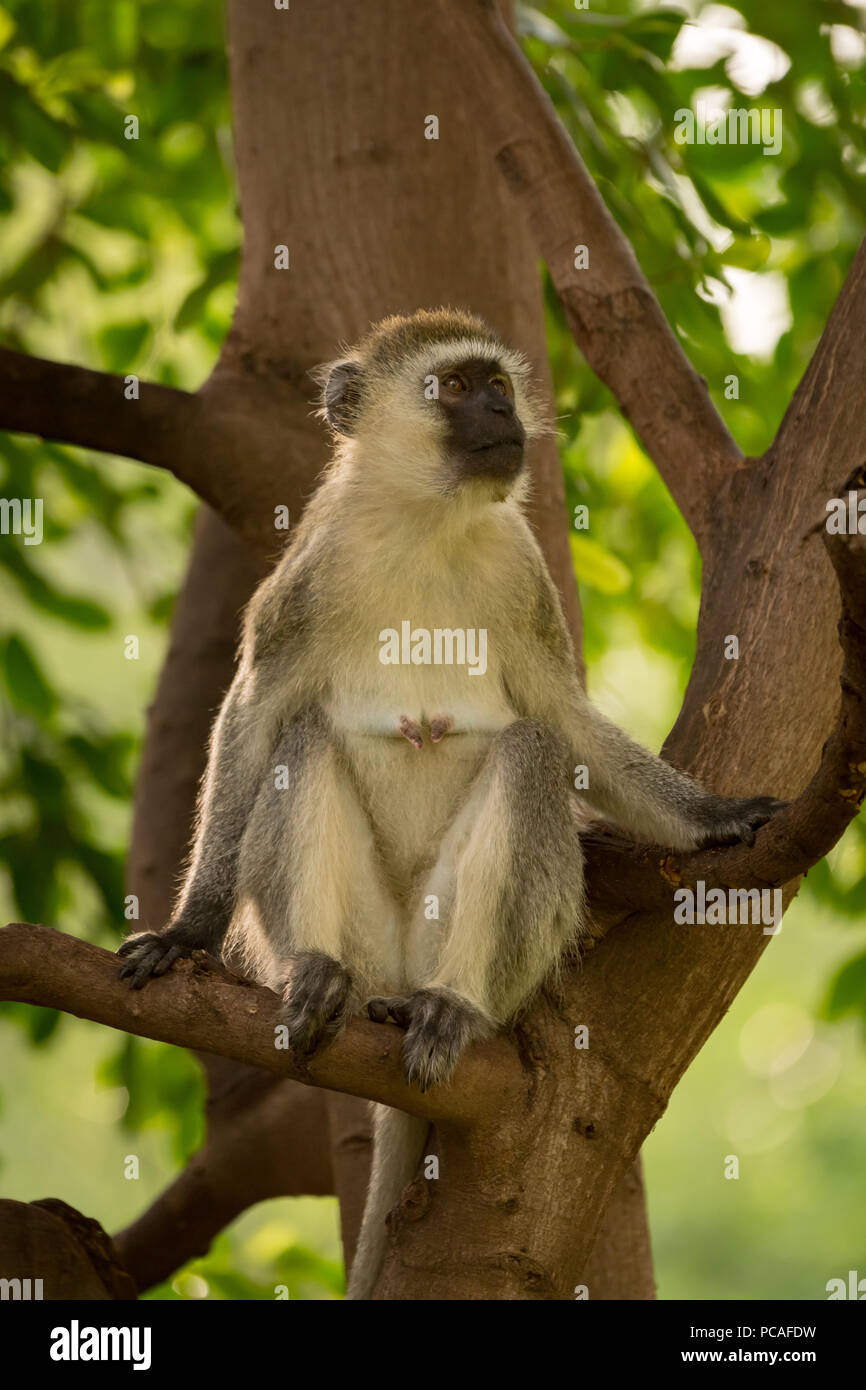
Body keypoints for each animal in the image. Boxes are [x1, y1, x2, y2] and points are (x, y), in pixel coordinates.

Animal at [117, 307, 784, 1298]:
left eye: (499, 385)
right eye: (457, 387)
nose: (504, 414)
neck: (427, 523)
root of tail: (394, 975)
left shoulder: (522, 570)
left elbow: (561, 719)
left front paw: (714, 818)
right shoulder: (312, 565)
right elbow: (257, 712)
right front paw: (190, 931)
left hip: (456, 943)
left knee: (531, 755)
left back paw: (451, 1009)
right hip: (364, 938)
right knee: (302, 743)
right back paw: (319, 977)